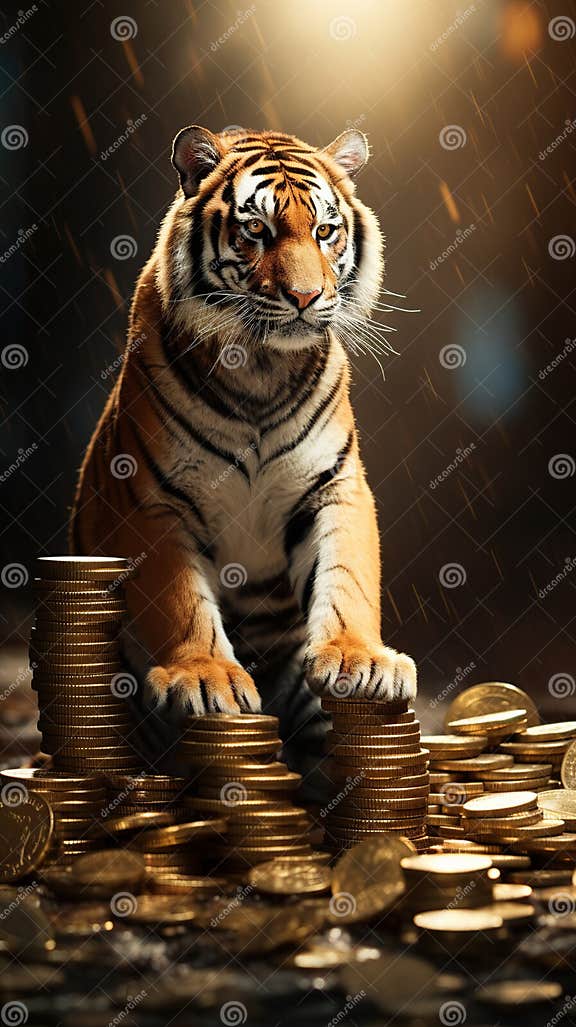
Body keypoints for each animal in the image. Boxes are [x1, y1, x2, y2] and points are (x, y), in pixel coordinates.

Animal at [70, 125, 417, 780]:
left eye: (325, 231)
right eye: (257, 229)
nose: (306, 296)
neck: (260, 368)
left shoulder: (334, 486)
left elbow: (349, 576)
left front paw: (359, 659)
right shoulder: (152, 500)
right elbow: (179, 597)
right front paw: (206, 678)